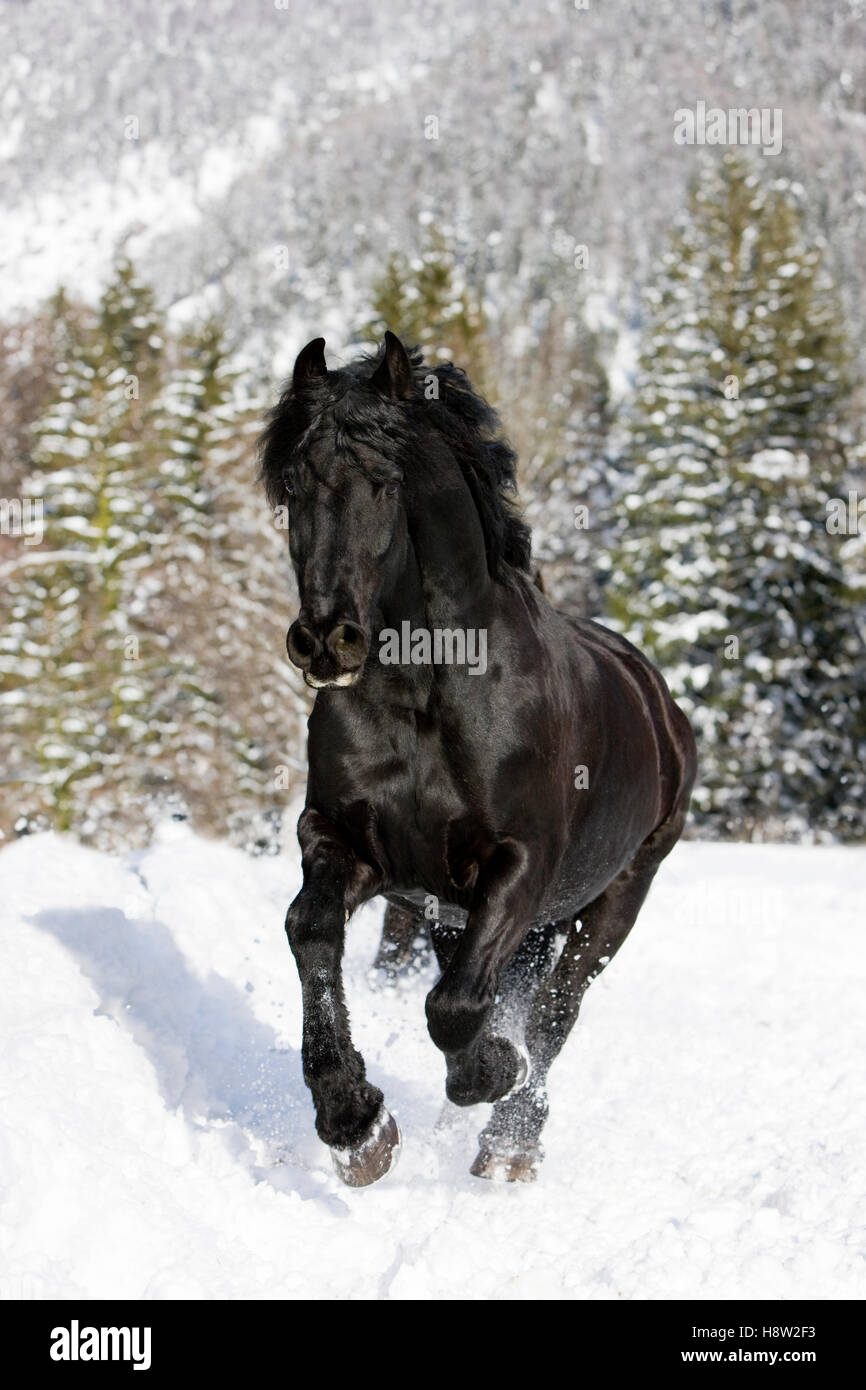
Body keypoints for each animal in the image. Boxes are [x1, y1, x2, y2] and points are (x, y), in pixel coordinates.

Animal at [259, 331, 697, 1185]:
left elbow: (460, 1010)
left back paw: (510, 1141)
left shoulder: (520, 865)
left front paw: (491, 1071)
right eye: (292, 482)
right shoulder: (352, 844)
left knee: (556, 1013)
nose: (326, 639)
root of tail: (662, 707)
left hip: (618, 896)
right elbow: (312, 931)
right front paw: (355, 1121)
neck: (425, 695)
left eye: (385, 480)